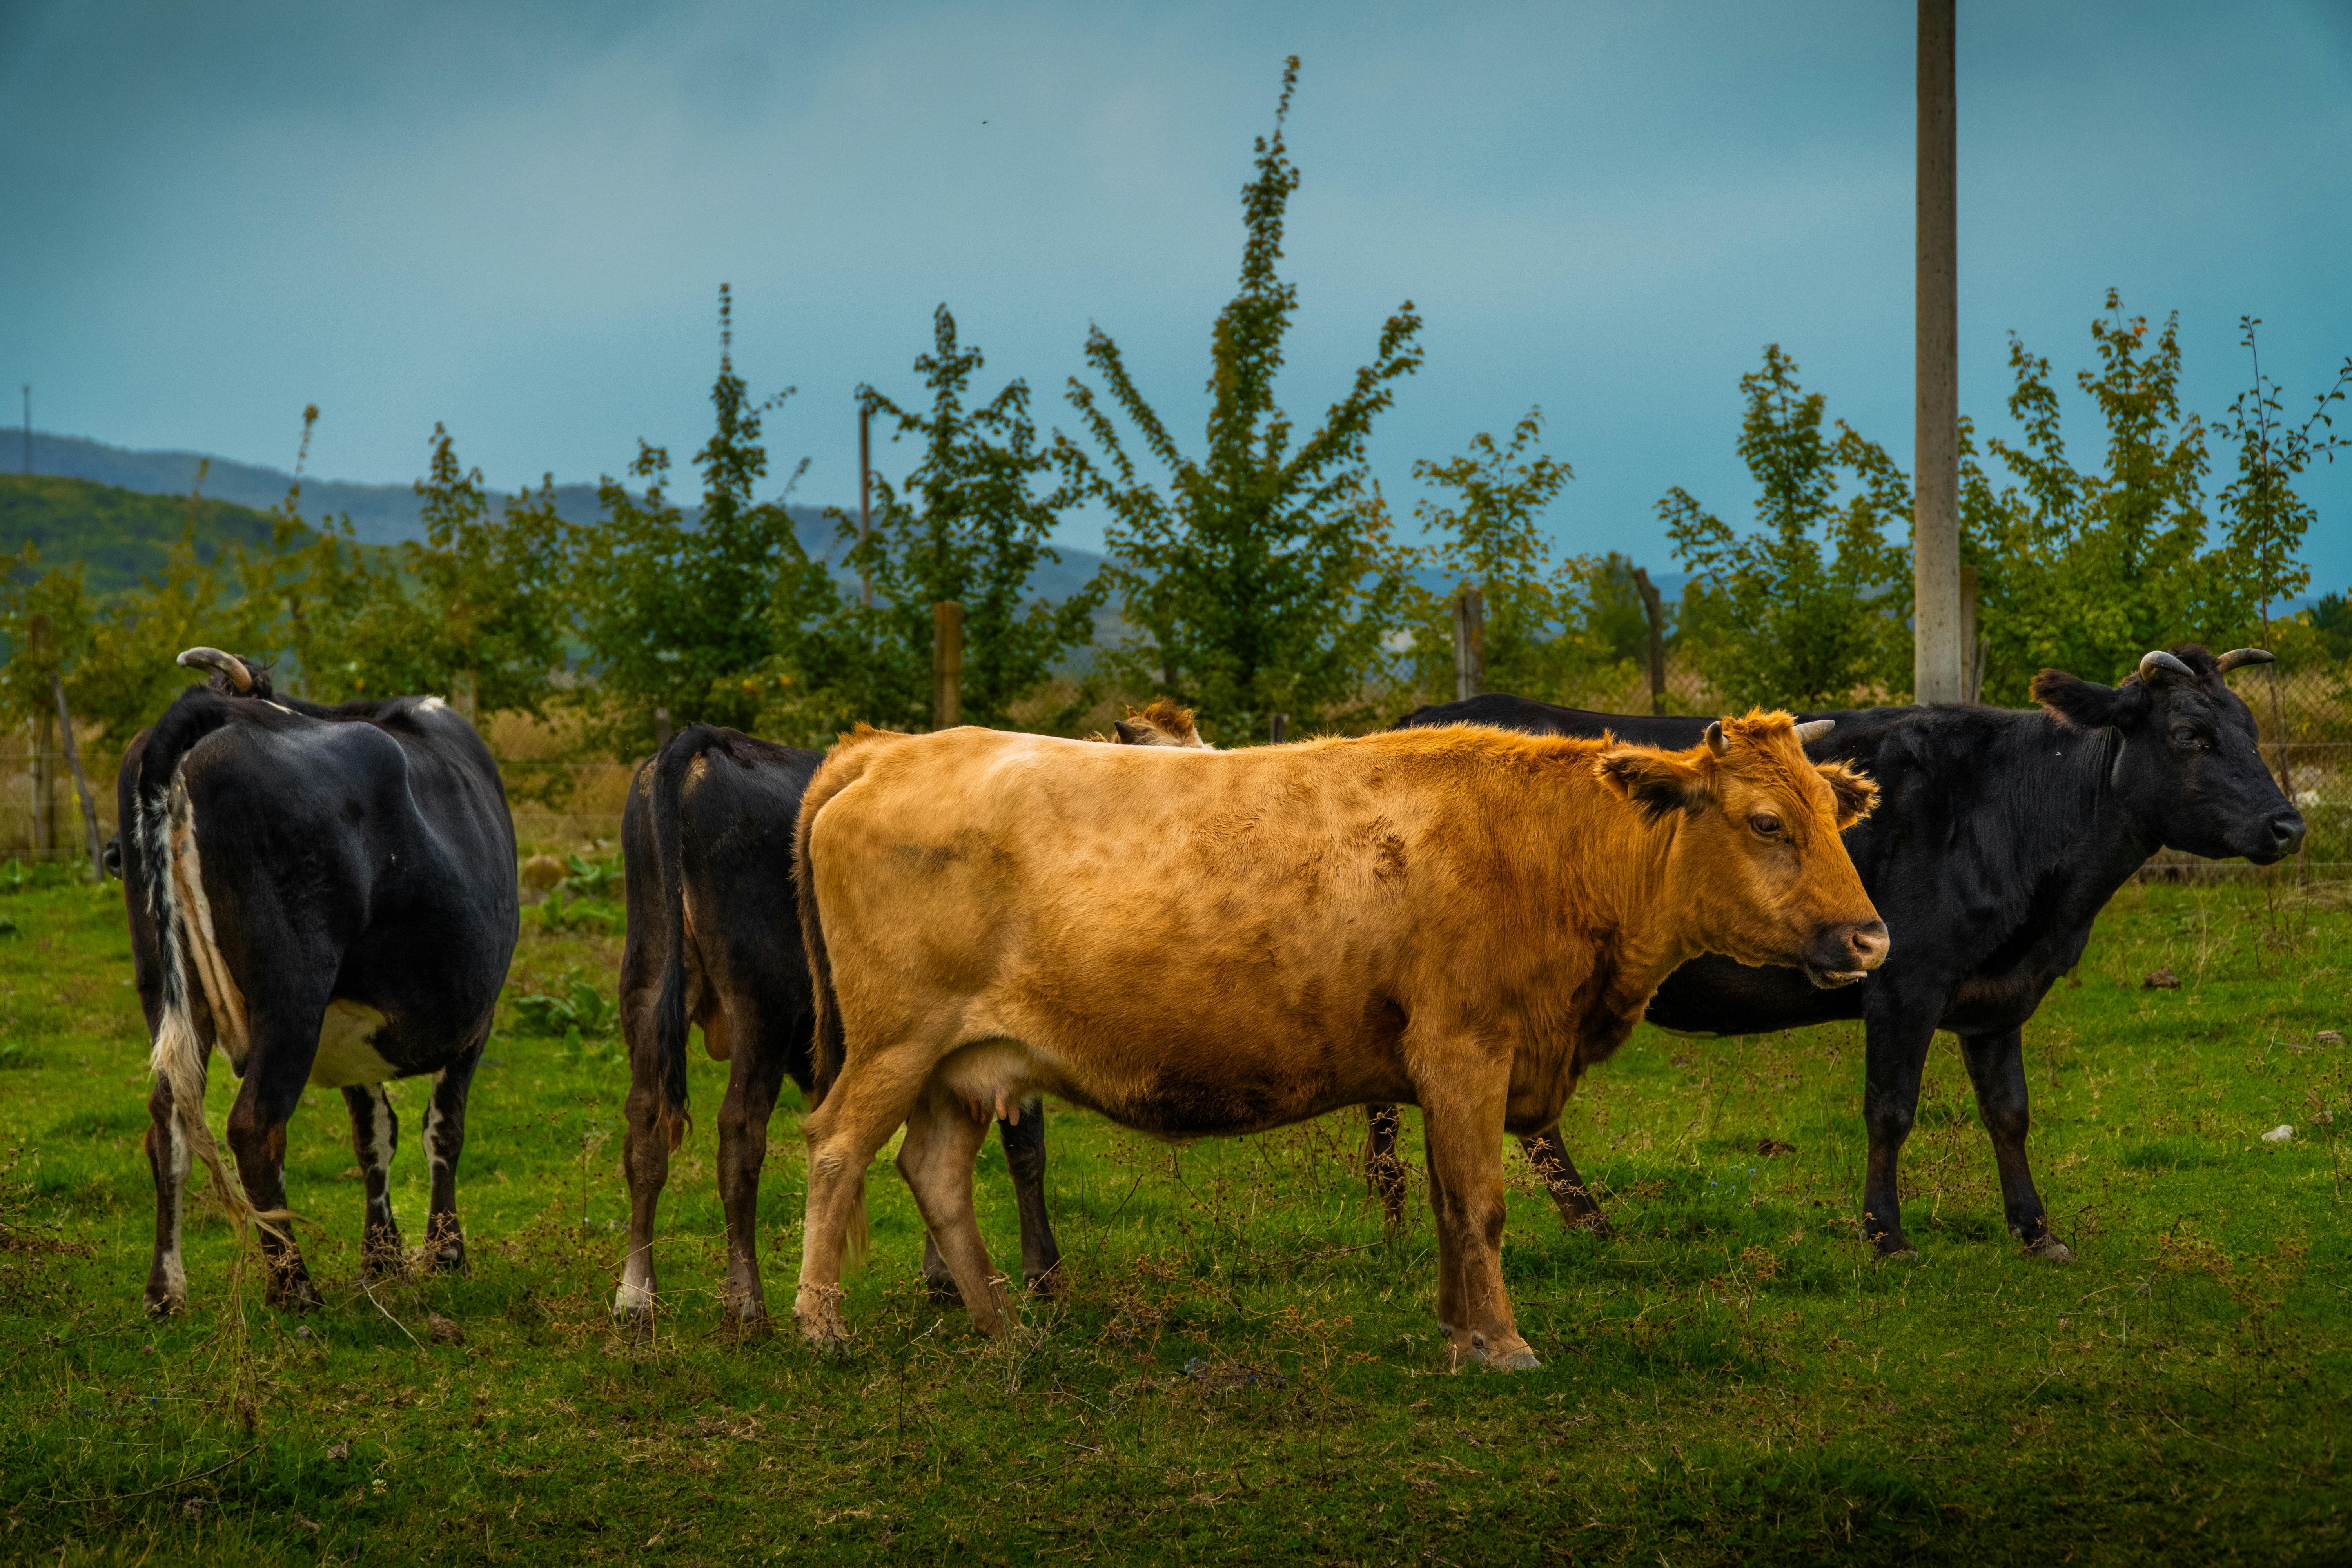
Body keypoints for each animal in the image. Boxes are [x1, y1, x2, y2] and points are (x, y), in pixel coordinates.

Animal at [118, 647, 519, 1314]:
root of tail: (219, 707)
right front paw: (445, 1253)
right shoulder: (473, 1024)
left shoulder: (353, 1035)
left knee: (166, 1120)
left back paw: (165, 1290)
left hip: (166, 984)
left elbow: (374, 1135)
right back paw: (294, 1287)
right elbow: (444, 1128)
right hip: (292, 992)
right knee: (254, 1126)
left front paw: (383, 1258)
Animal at [615, 700, 1210, 1326]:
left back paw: (636, 1295)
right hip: (762, 1002)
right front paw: (1040, 1274)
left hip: (648, 979)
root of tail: (706, 743)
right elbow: (1025, 1149)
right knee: (740, 1132)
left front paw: (946, 1272)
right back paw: (747, 1298)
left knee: (646, 1126)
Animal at [789, 712, 1885, 1369]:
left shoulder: (1440, 1071)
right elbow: (1481, 1203)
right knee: (838, 1148)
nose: (1869, 937)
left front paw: (1459, 1332)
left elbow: (1446, 1203)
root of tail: (891, 745)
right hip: (894, 1040)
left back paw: (1003, 1324)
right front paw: (1505, 1344)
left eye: (1832, 815)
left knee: (932, 1170)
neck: (1548, 849)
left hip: (957, 1063)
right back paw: (820, 1324)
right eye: (1765, 821)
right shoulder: (1467, 1050)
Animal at [1376, 644, 2305, 1260]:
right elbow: (1890, 1111)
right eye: (2189, 734)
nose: (2288, 824)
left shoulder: (1997, 994)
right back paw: (1404, 1218)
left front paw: (2037, 1231)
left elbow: (2010, 1111)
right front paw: (1885, 1234)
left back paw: (1568, 1219)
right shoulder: (1904, 981)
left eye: (2250, 728)